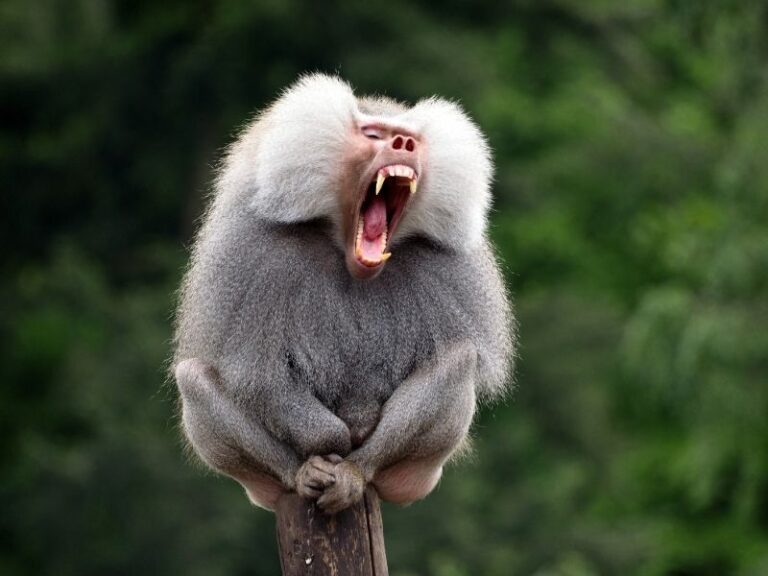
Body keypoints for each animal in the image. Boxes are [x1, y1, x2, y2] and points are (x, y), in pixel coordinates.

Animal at [173, 74, 514, 514]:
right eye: (373, 134)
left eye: (410, 138)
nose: (404, 144)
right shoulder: (254, 254)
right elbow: (260, 376)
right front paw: (332, 438)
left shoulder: (449, 272)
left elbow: (454, 360)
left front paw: (357, 437)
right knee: (193, 379)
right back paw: (303, 473)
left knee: (458, 361)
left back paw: (354, 472)